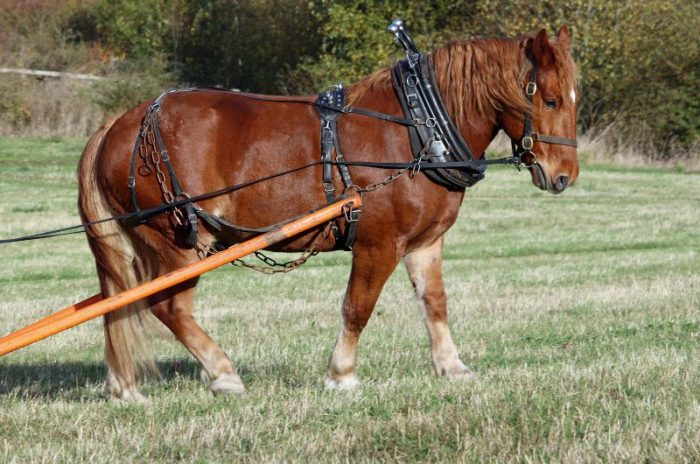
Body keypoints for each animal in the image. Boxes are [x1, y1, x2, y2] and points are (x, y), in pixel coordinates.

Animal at [77, 26, 578, 401]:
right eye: (549, 100)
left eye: (574, 98)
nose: (564, 177)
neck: (420, 132)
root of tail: (120, 124)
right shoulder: (378, 244)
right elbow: (357, 307)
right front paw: (342, 374)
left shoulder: (425, 243)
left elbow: (434, 303)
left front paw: (451, 366)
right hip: (179, 240)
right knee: (167, 305)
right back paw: (222, 373)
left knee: (119, 303)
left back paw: (124, 387)